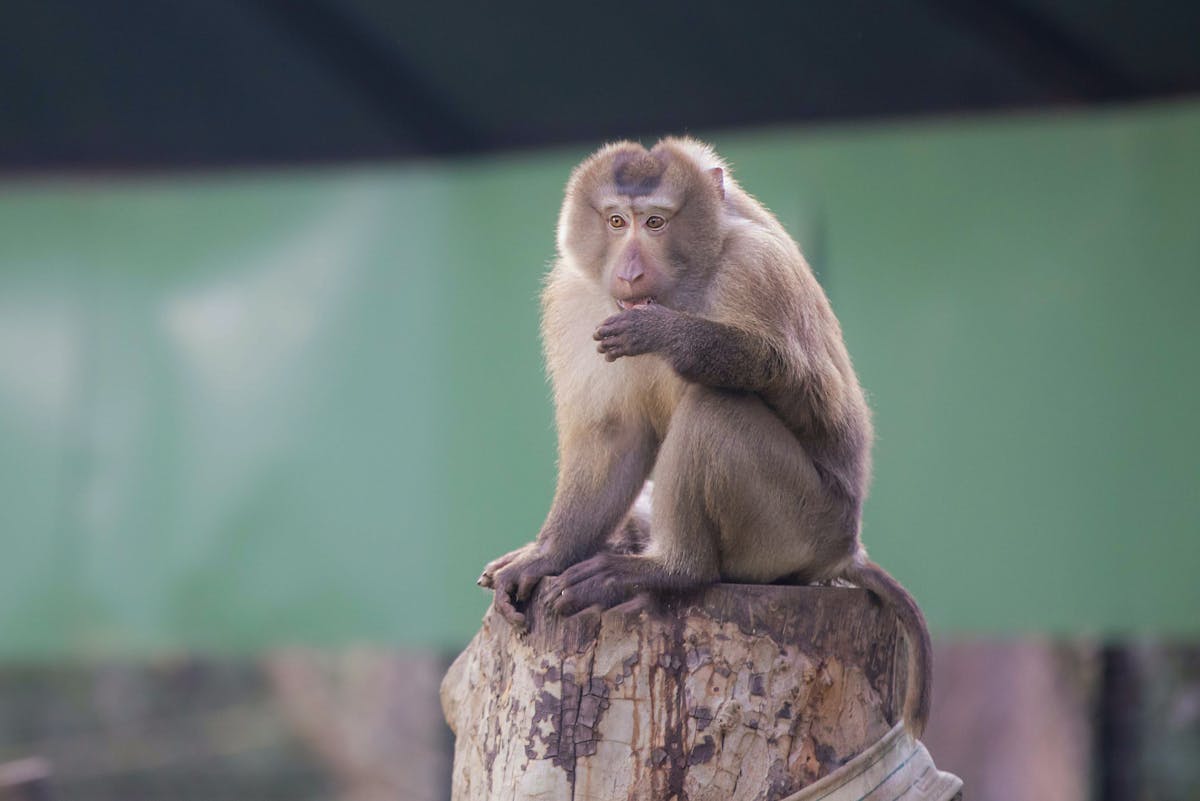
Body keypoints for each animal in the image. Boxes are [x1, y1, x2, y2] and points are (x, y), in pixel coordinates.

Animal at [477, 137, 932, 736]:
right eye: (617, 221)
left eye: (655, 222)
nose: (628, 271)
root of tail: (845, 550)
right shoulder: (575, 300)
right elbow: (613, 438)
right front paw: (546, 555)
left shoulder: (756, 267)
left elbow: (798, 378)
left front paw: (670, 334)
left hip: (801, 525)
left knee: (716, 408)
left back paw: (671, 568)